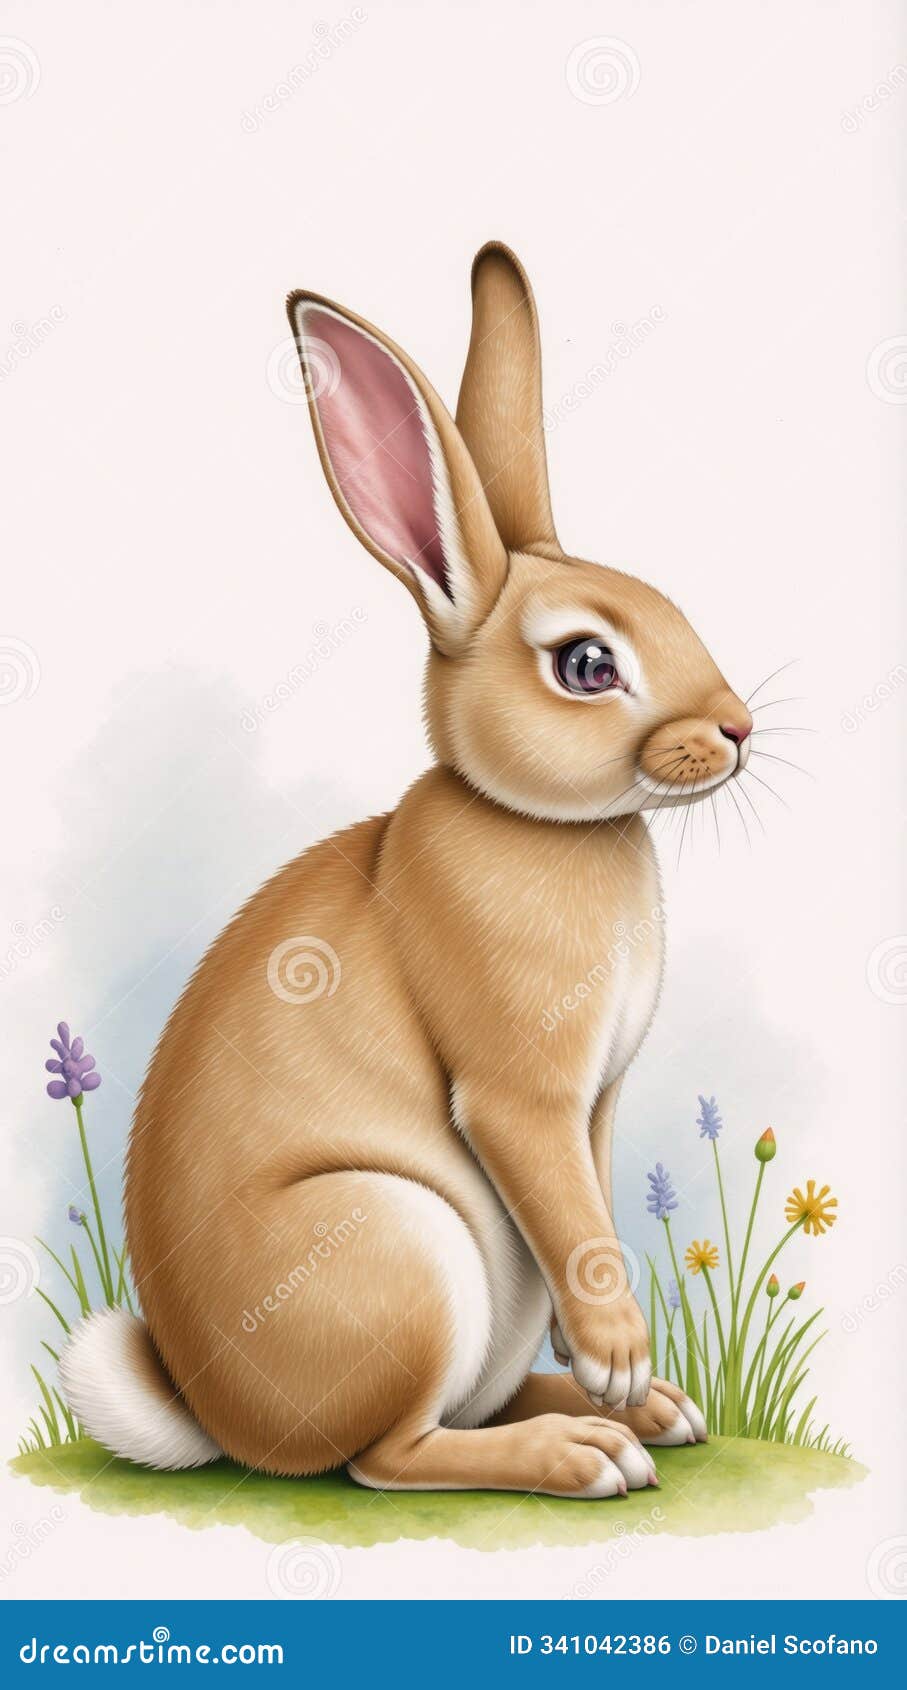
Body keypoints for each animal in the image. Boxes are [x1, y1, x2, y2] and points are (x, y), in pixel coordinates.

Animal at [60, 243, 751, 1500]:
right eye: (587, 664)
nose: (736, 729)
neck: (535, 819)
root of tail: (214, 1418)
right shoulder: (520, 1093)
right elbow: (570, 1210)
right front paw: (618, 1355)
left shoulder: (594, 1104)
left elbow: (586, 1209)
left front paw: (616, 1365)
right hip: (399, 1248)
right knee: (388, 1456)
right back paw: (583, 1450)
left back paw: (638, 1413)